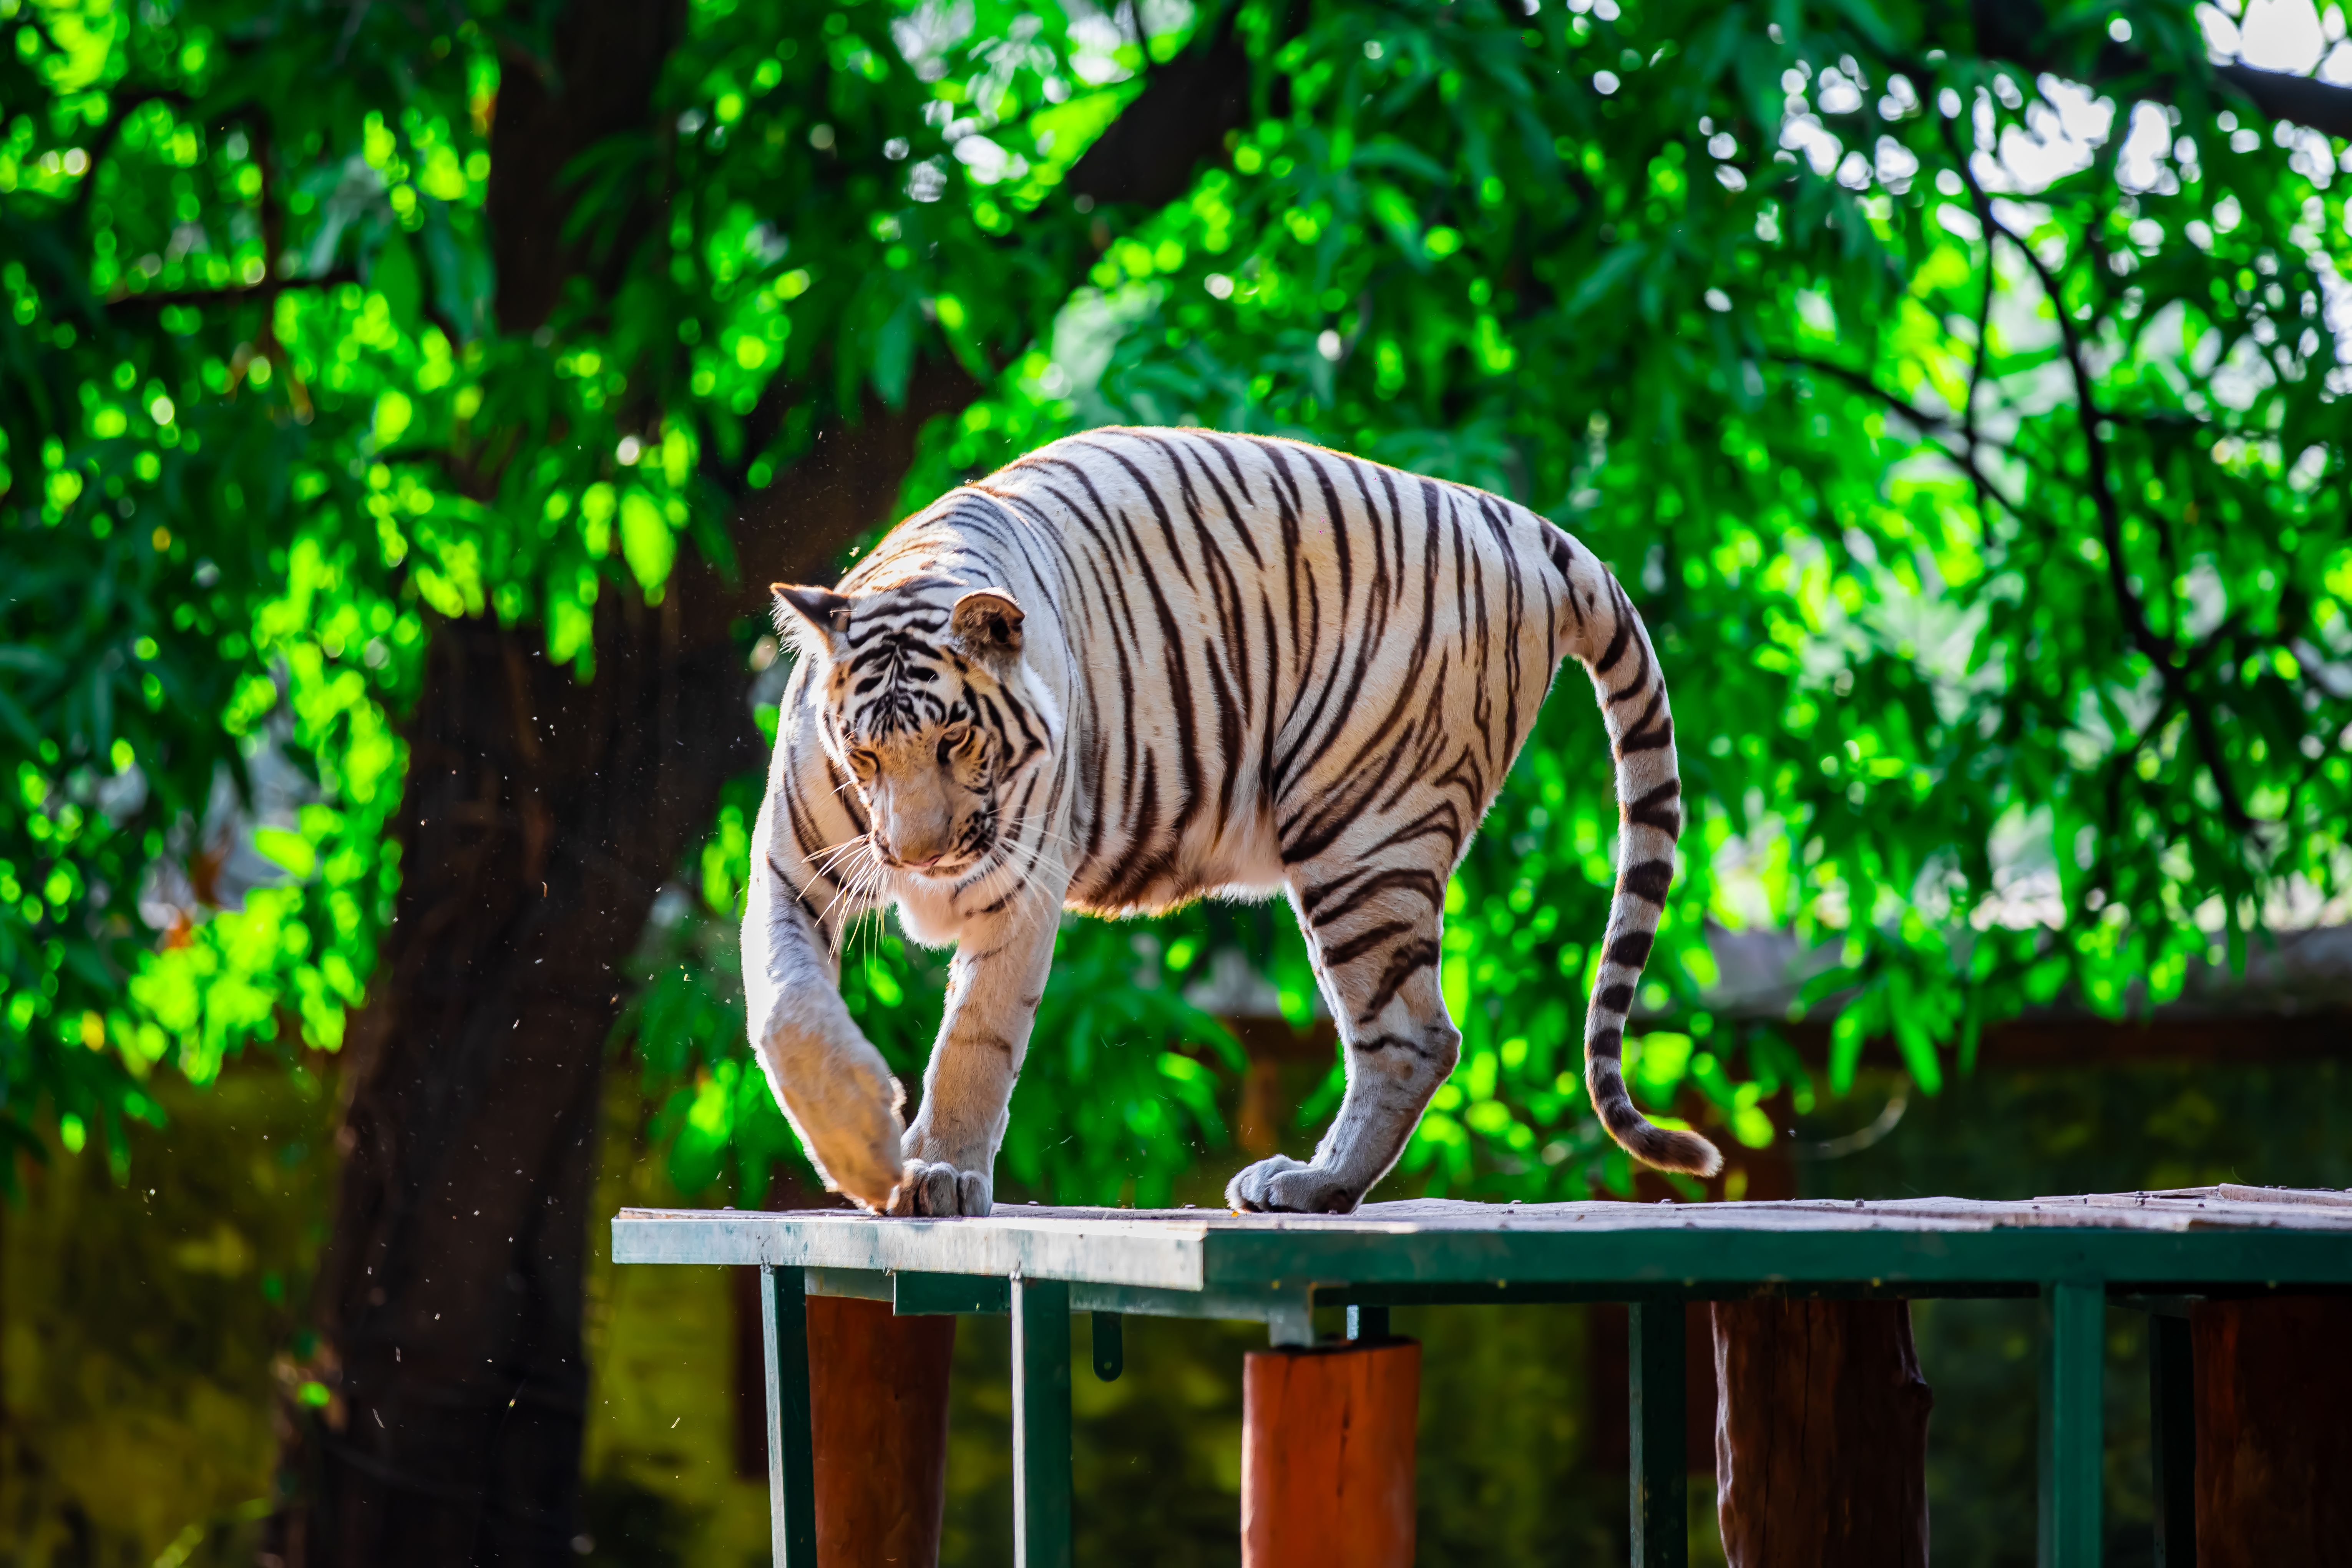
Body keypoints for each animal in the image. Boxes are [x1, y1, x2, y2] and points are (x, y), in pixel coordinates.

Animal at [744, 426, 1720, 1217]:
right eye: (865, 756)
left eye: (954, 739)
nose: (918, 857)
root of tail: (1511, 520)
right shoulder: (790, 868)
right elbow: (787, 1011)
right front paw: (862, 1148)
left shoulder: (1016, 887)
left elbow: (974, 1042)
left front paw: (940, 1172)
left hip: (1361, 834)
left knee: (1415, 1037)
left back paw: (1310, 1185)